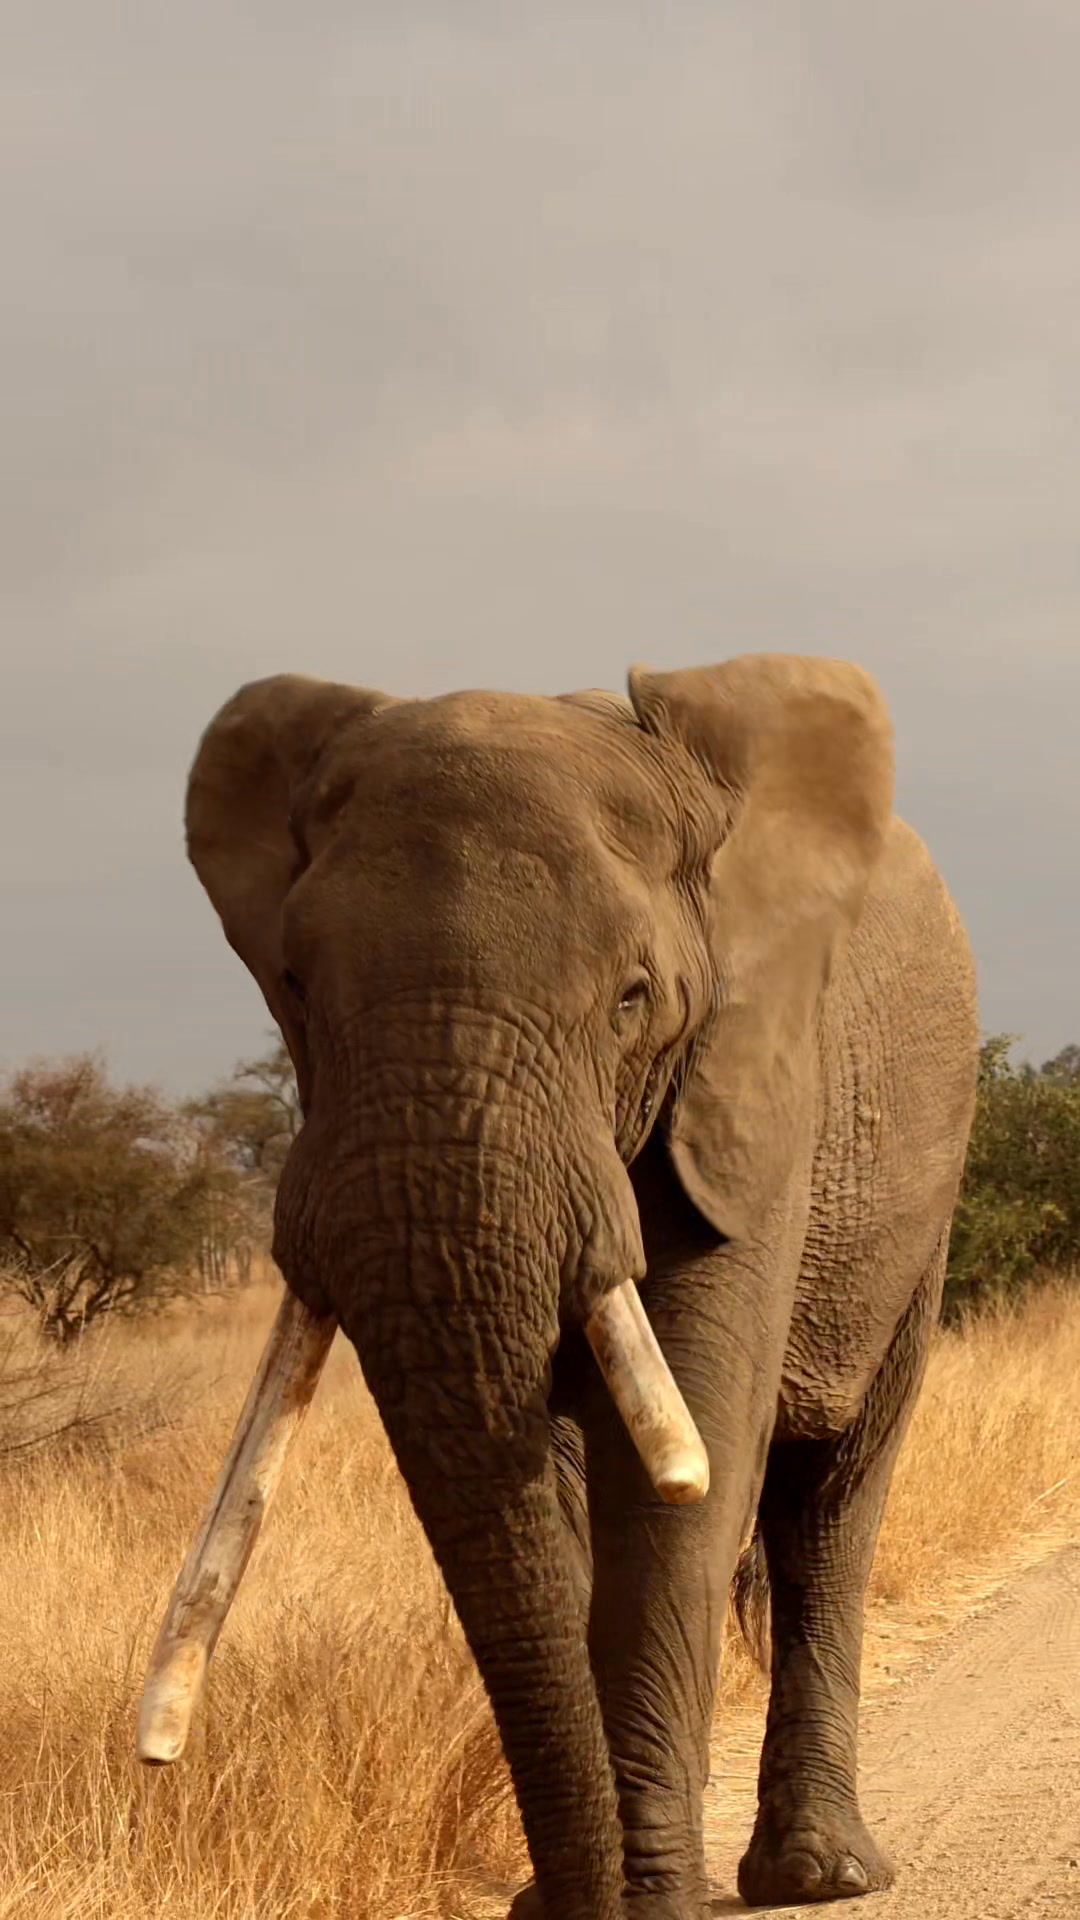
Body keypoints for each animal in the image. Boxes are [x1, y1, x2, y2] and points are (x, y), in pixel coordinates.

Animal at [146, 654, 978, 1919]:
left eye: (633, 998)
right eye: (293, 984)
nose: (582, 1900)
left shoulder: (750, 1088)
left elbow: (684, 1467)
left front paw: (657, 1899)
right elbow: (559, 1477)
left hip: (920, 1208)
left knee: (832, 1494)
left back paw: (823, 1875)